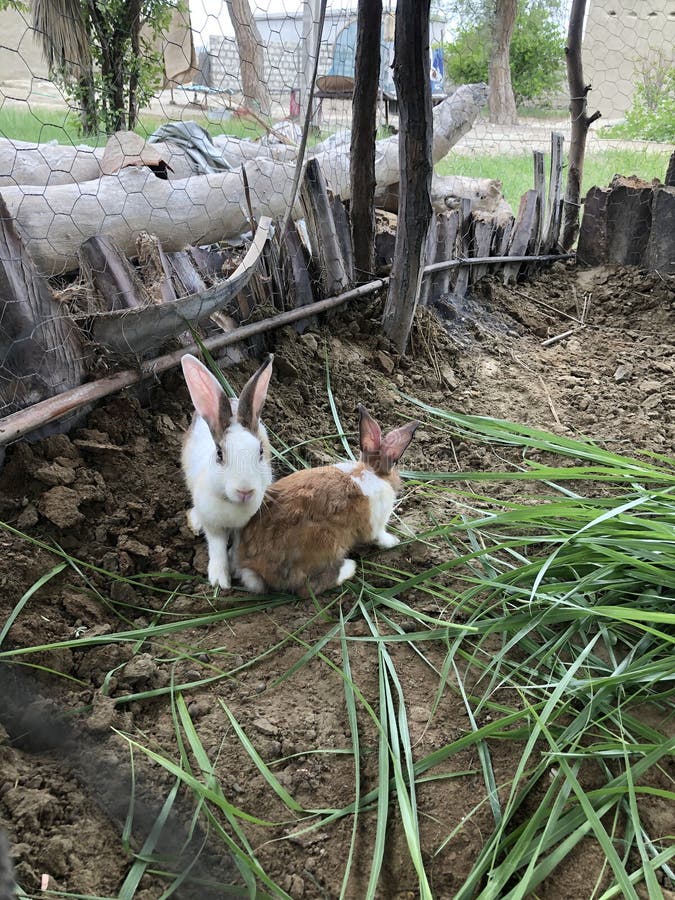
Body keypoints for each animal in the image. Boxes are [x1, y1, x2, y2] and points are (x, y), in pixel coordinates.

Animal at [181, 352, 274, 589]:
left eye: (261, 451)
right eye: (220, 455)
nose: (245, 491)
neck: (231, 504)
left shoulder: (245, 525)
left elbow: (238, 544)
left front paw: (234, 566)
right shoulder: (213, 525)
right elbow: (217, 547)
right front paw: (219, 580)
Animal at [233, 404, 419, 598]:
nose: (399, 482)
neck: (370, 471)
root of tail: (252, 567)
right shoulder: (375, 525)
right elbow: (379, 537)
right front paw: (394, 541)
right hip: (324, 542)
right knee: (307, 587)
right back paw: (349, 568)